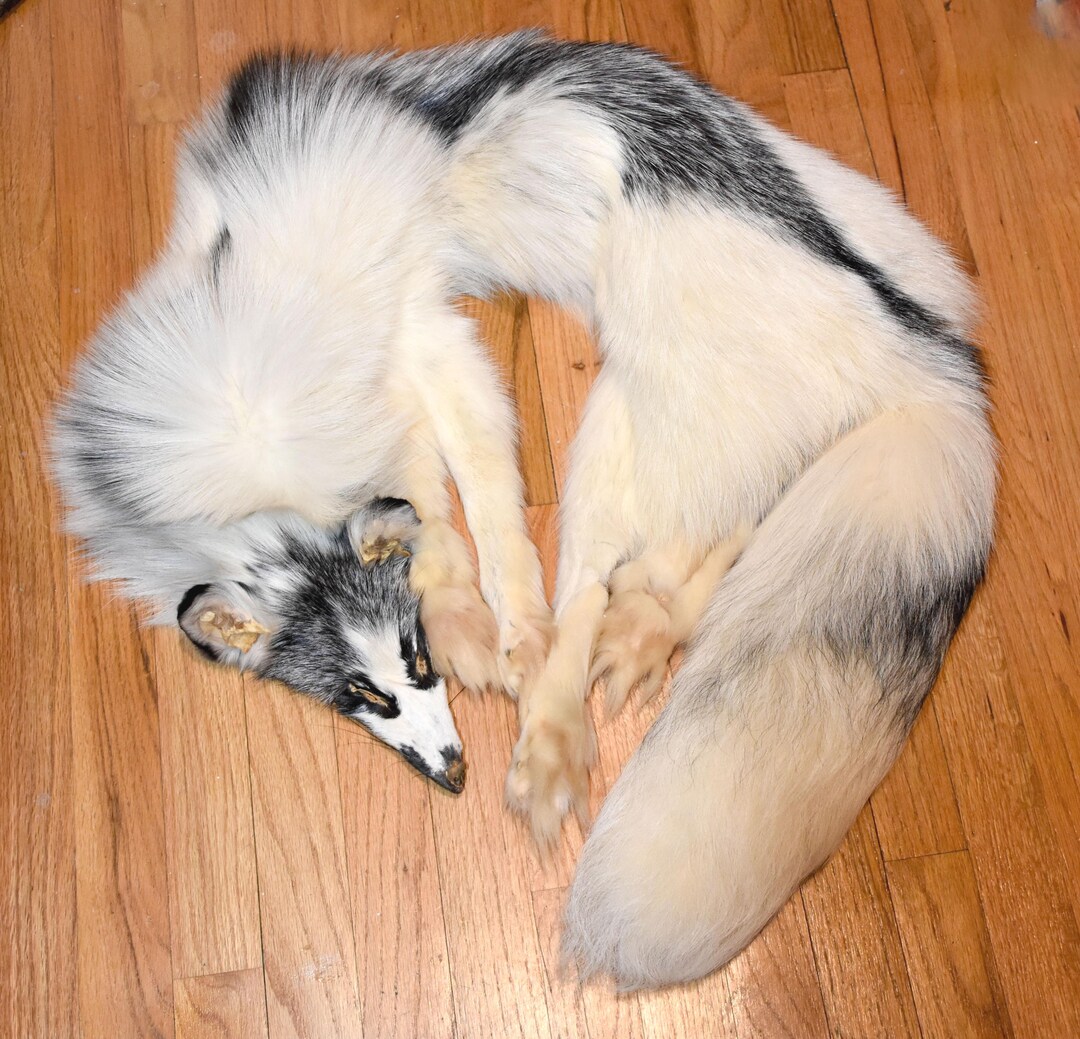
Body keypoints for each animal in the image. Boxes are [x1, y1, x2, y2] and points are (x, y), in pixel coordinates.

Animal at [51, 32, 995, 989]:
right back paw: (644, 627)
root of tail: (930, 360)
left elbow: (480, 494)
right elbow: (430, 505)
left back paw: (556, 724)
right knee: (731, 519)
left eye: (409, 664)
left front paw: (487, 623)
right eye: (354, 696)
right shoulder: (395, 378)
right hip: (693, 404)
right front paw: (460, 614)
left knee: (605, 576)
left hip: (629, 411)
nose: (451, 773)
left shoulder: (419, 334)